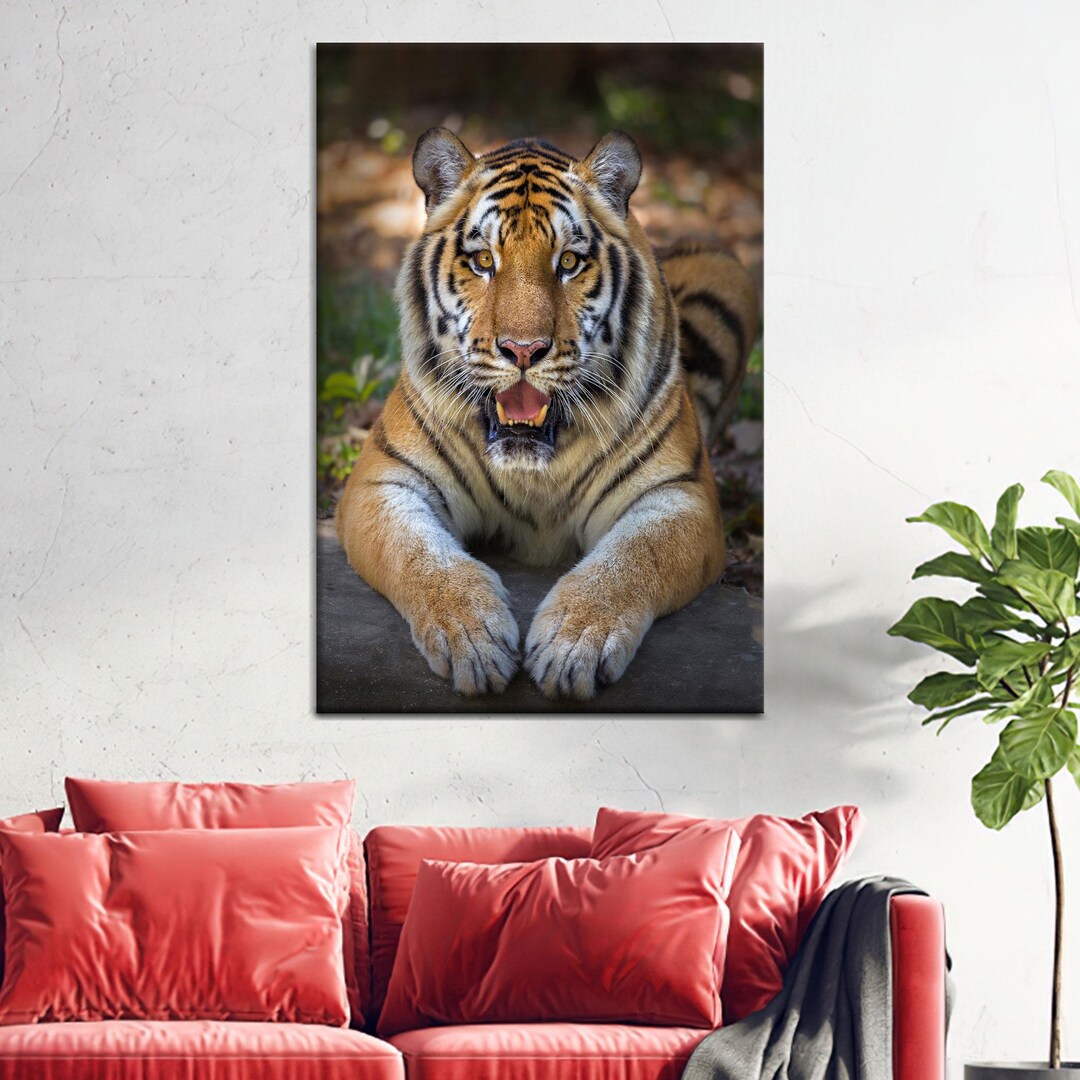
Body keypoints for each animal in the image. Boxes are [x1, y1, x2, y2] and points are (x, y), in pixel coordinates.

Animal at [335, 128, 758, 699]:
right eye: (483, 261)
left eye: (570, 263)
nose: (523, 350)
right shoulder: (383, 482)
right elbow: (420, 555)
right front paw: (472, 636)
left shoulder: (680, 495)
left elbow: (631, 560)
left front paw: (573, 643)